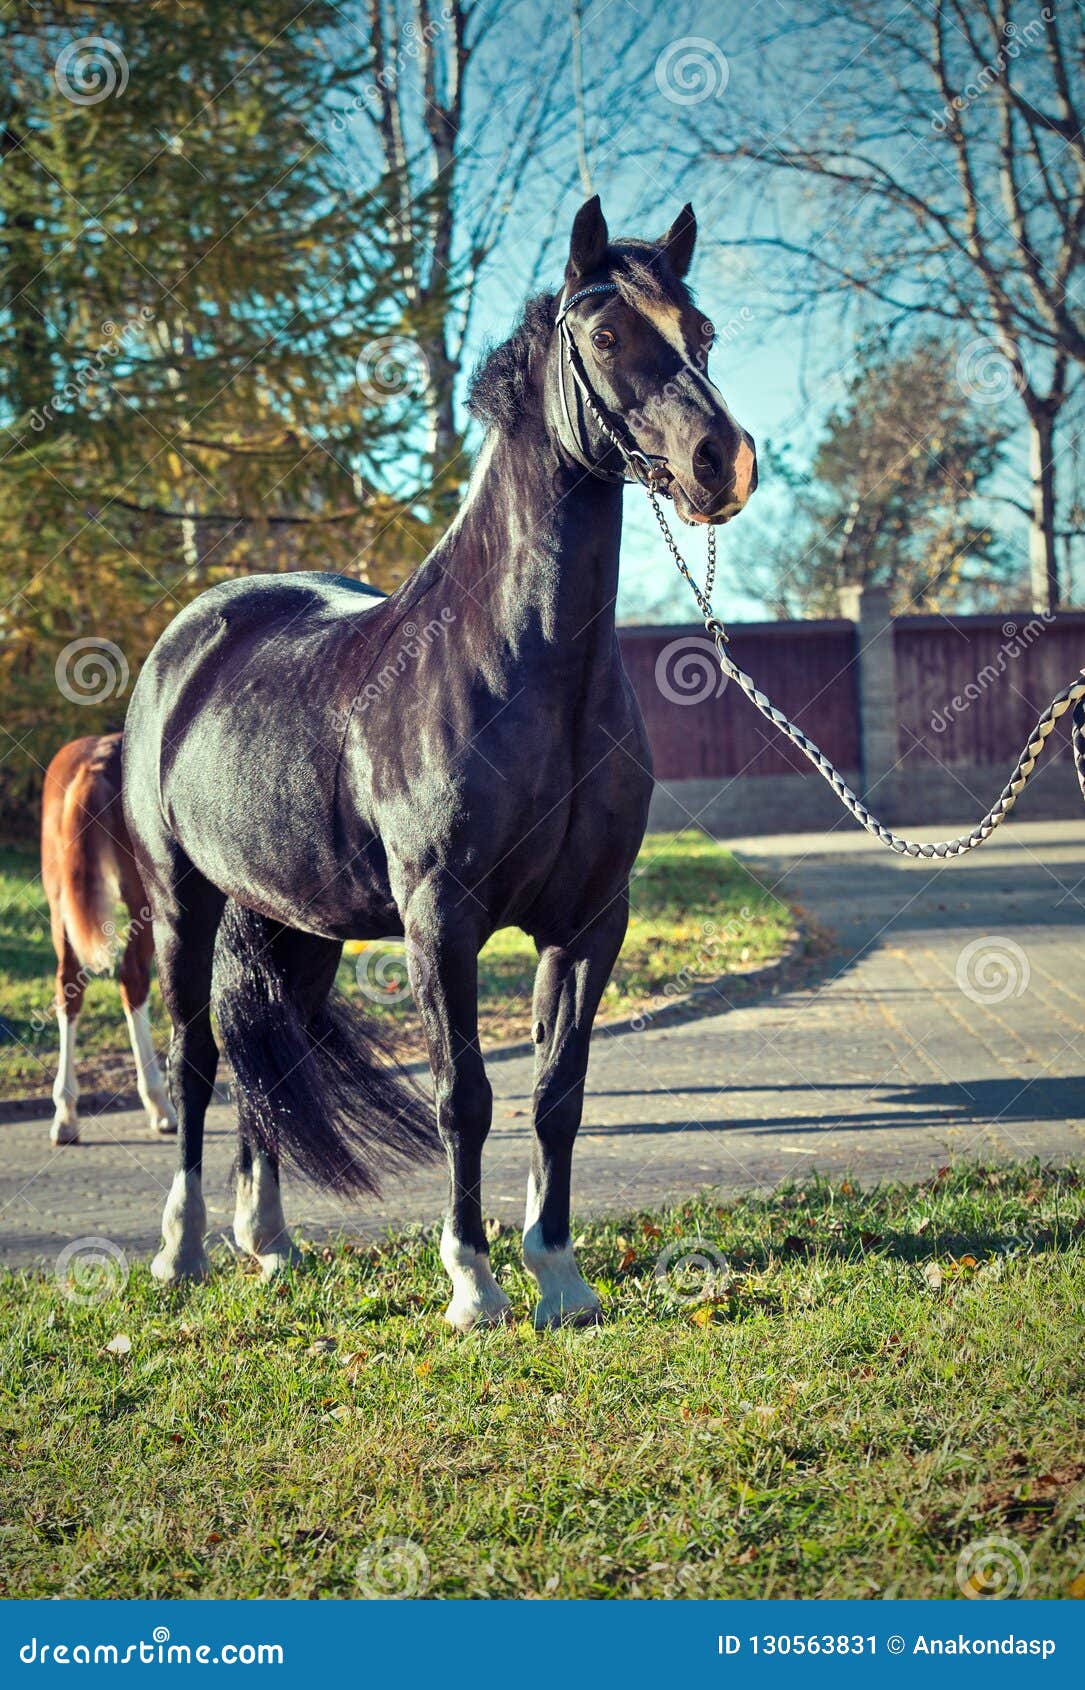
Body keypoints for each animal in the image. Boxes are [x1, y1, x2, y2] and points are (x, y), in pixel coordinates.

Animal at [41, 734, 176, 1144]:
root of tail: (97, 758)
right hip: (148, 902)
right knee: (133, 978)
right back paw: (160, 1104)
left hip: (60, 903)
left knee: (69, 984)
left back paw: (66, 1112)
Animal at [122, 196, 756, 1326]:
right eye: (605, 335)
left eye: (703, 333)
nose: (720, 461)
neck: (526, 667)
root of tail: (193, 636)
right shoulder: (440, 919)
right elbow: (464, 1094)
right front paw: (472, 1282)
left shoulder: (590, 923)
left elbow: (557, 1093)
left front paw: (558, 1276)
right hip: (181, 898)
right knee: (197, 1059)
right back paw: (182, 1249)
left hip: (295, 924)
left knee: (267, 1056)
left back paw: (268, 1241)